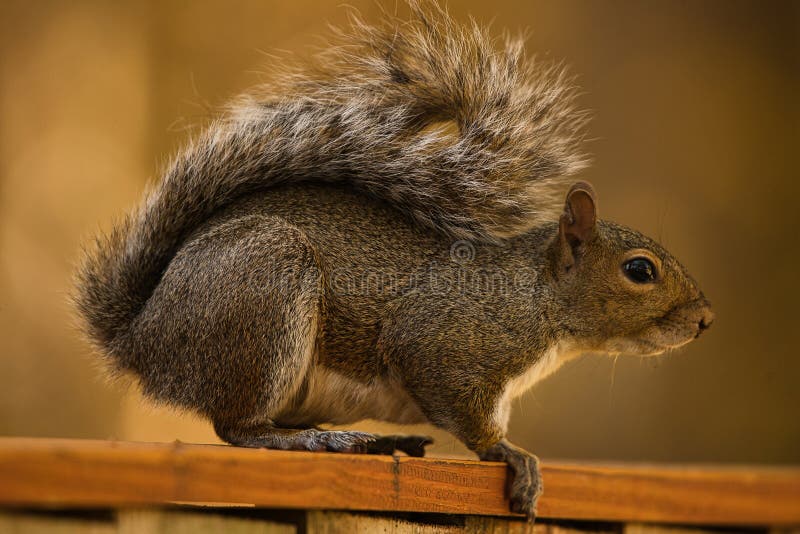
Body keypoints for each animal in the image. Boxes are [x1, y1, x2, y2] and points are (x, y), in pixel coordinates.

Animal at [74, 2, 714, 520]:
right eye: (639, 270)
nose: (706, 319)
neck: (537, 296)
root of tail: (142, 337)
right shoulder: (447, 339)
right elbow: (455, 397)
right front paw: (510, 455)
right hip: (265, 292)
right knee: (239, 428)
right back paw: (317, 442)